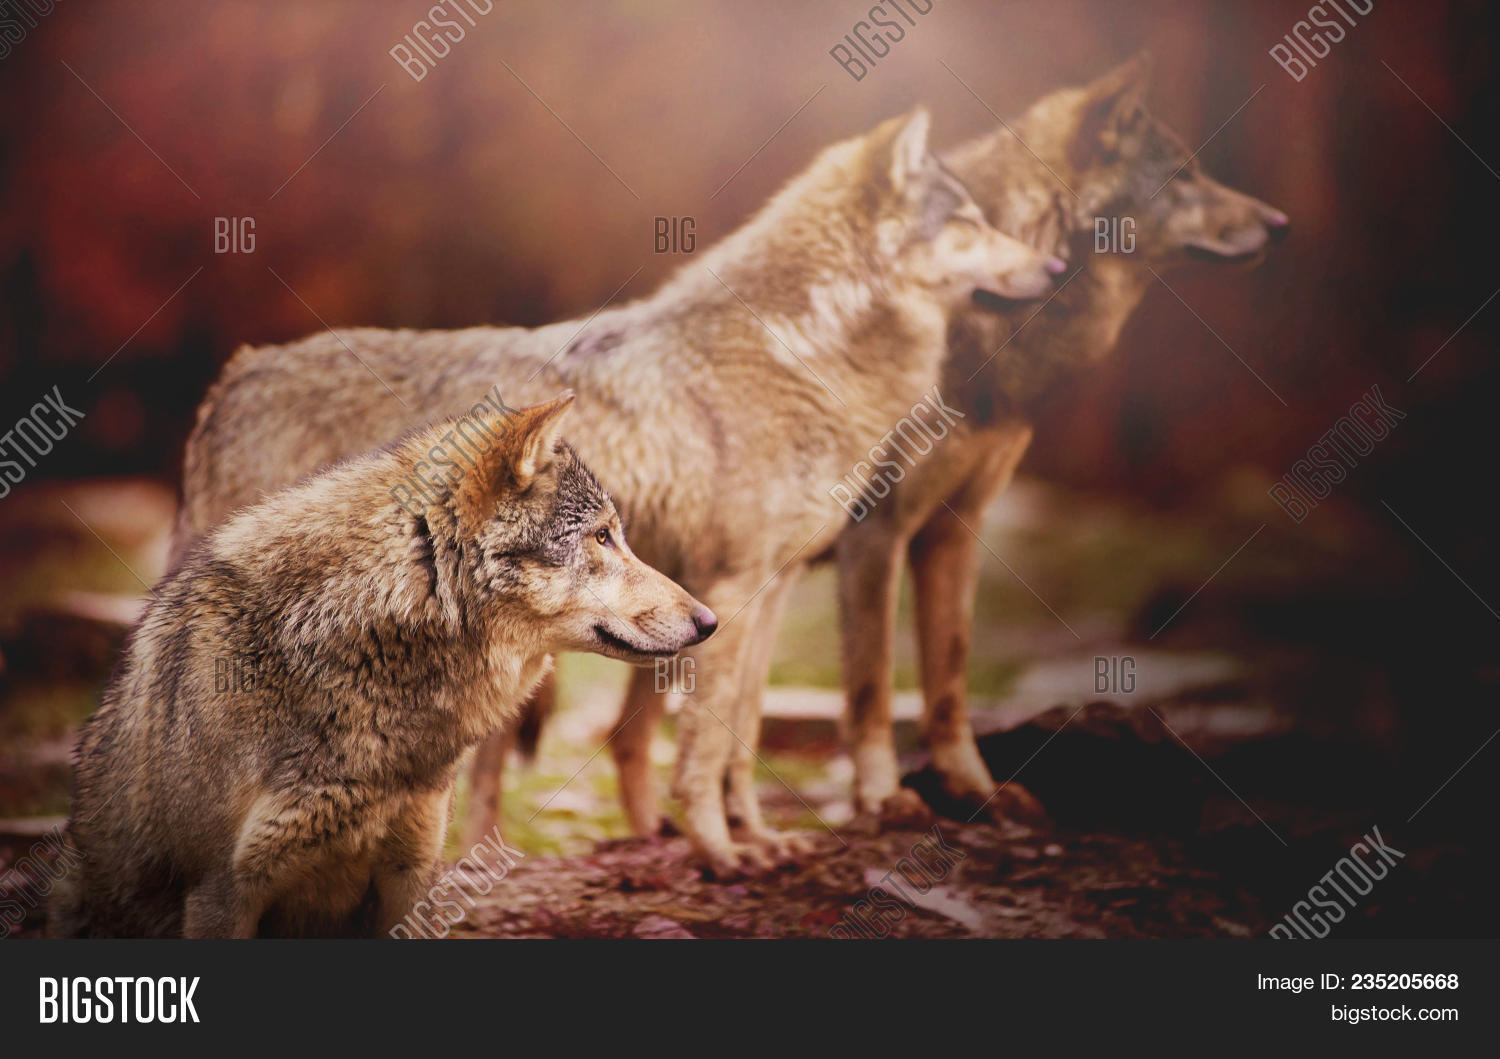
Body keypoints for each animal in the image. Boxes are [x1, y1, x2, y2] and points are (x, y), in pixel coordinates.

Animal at [168, 108, 1063, 875]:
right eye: (970, 224)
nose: (1057, 265)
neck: (800, 352)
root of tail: (236, 375)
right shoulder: (734, 586)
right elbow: (705, 744)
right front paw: (719, 852)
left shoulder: (768, 593)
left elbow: (741, 735)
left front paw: (757, 836)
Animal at [828, 54, 1290, 824]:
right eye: (1184, 175)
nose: (1282, 225)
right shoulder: (876, 532)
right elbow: (871, 684)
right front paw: (885, 797)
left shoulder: (954, 529)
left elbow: (949, 677)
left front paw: (973, 790)